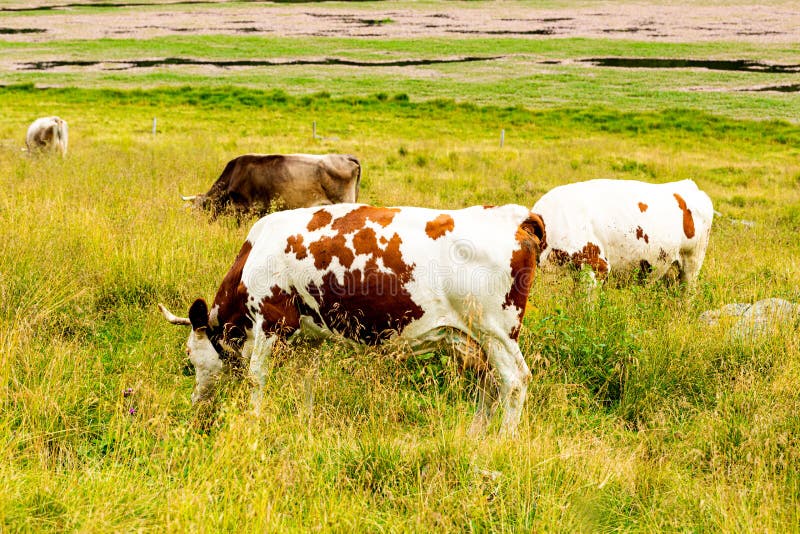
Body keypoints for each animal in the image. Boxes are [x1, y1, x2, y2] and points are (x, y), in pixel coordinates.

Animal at [159, 203, 545, 436]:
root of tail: (516, 217)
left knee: (514, 381)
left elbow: (256, 377)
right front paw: (305, 421)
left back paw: (503, 438)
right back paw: (476, 434)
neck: (256, 253)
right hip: (473, 340)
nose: (196, 403)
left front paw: (253, 420)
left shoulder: (270, 320)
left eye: (191, 358)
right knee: (489, 383)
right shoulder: (310, 337)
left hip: (496, 333)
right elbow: (307, 383)